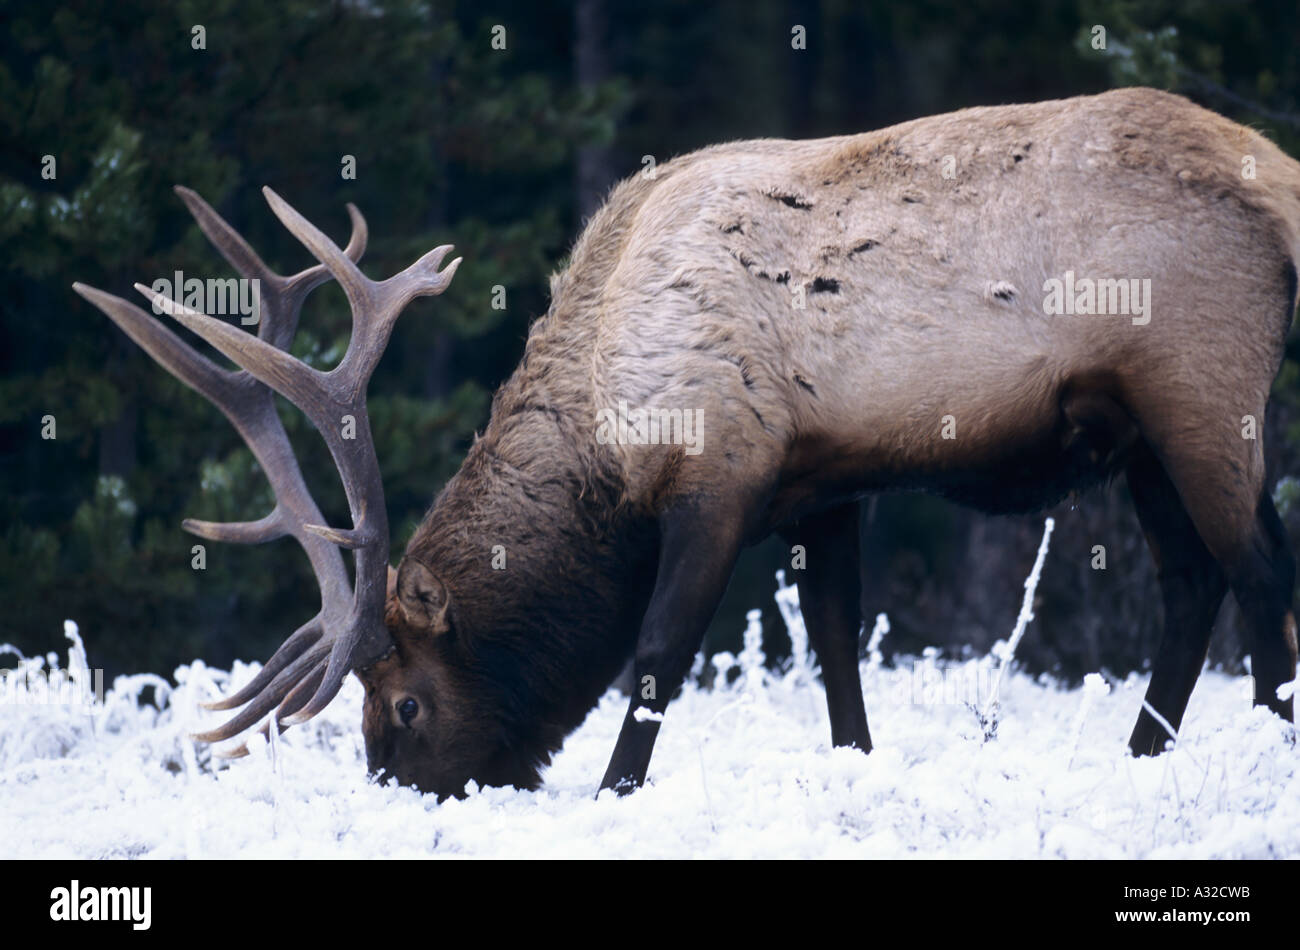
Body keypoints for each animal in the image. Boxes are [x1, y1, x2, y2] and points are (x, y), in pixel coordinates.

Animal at [76, 86, 1300, 800]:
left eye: (407, 703)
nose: (403, 790)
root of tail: (1281, 181)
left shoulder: (720, 470)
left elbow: (660, 652)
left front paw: (616, 791)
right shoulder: (825, 485)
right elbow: (835, 645)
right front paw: (853, 768)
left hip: (1201, 385)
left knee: (1255, 570)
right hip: (1139, 435)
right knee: (1194, 580)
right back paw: (1140, 757)